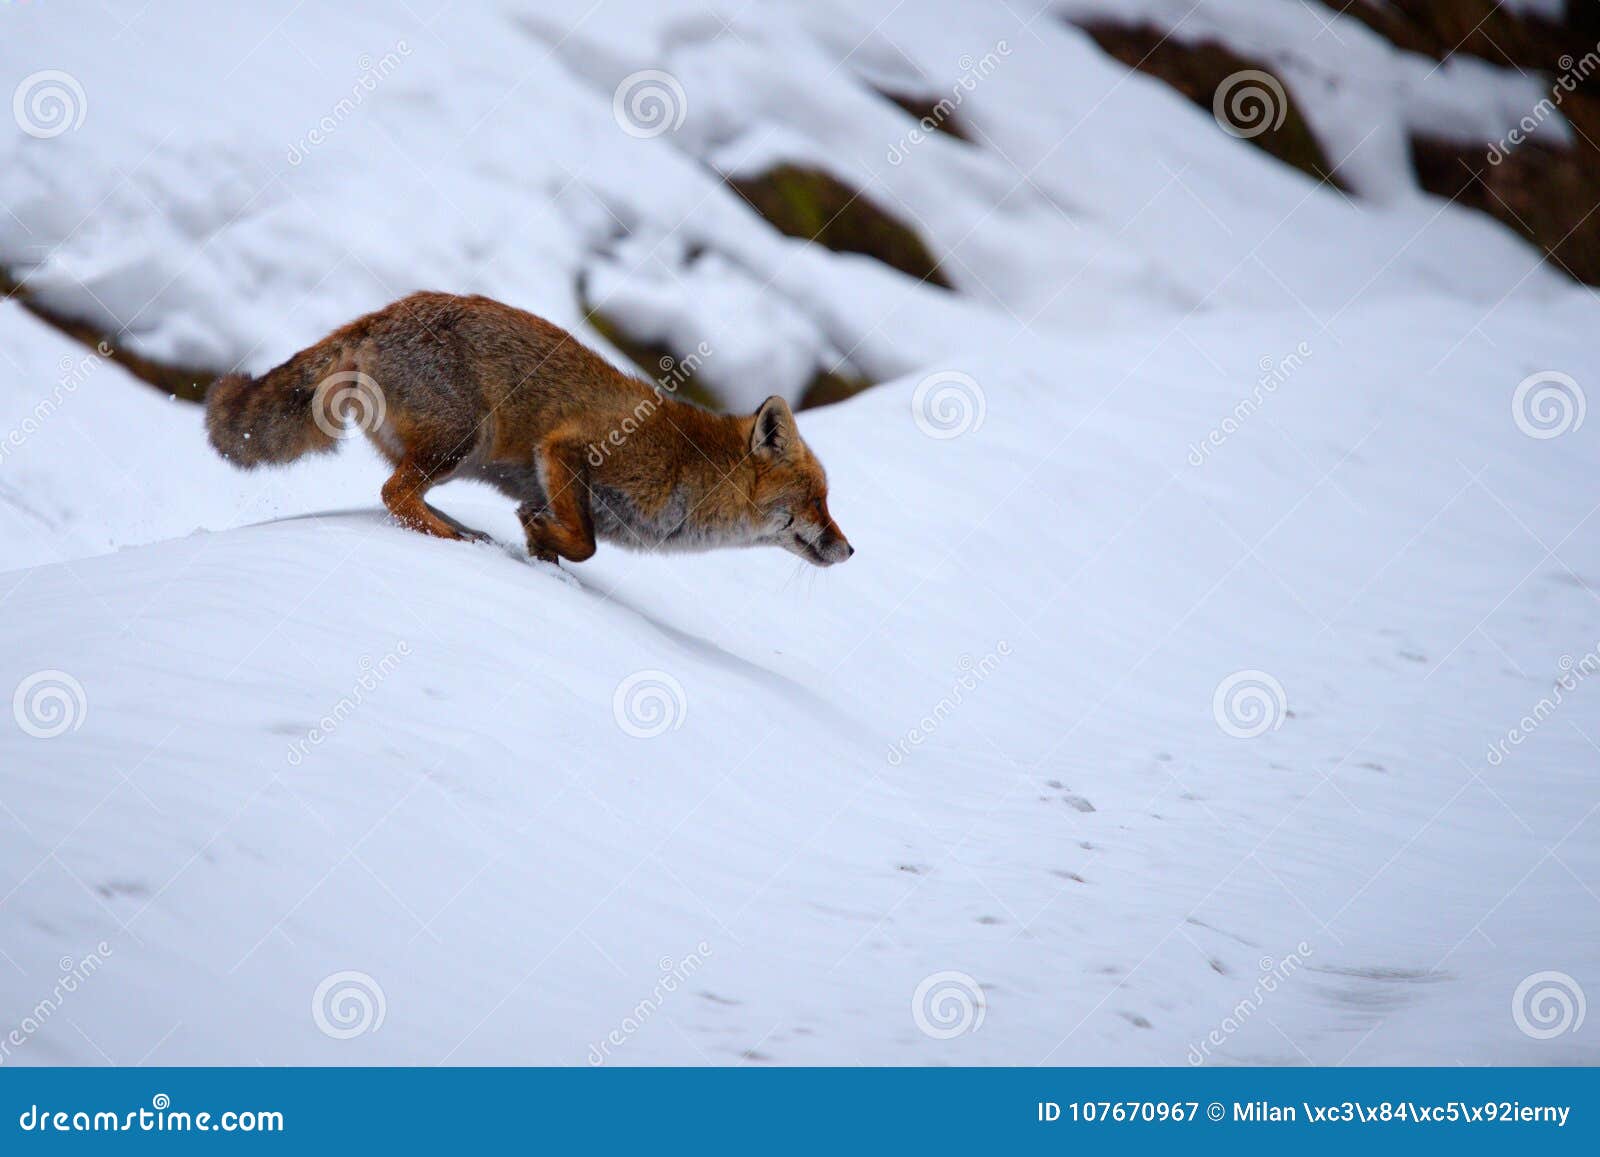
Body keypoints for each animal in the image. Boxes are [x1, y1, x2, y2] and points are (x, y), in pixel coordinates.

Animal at [204, 291, 853, 567]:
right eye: (816, 501)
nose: (849, 549)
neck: (693, 471)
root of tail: (381, 313)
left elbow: (571, 548)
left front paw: (541, 552)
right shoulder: (568, 448)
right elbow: (586, 542)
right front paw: (536, 533)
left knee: (398, 494)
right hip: (463, 440)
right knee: (393, 494)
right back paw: (455, 538)